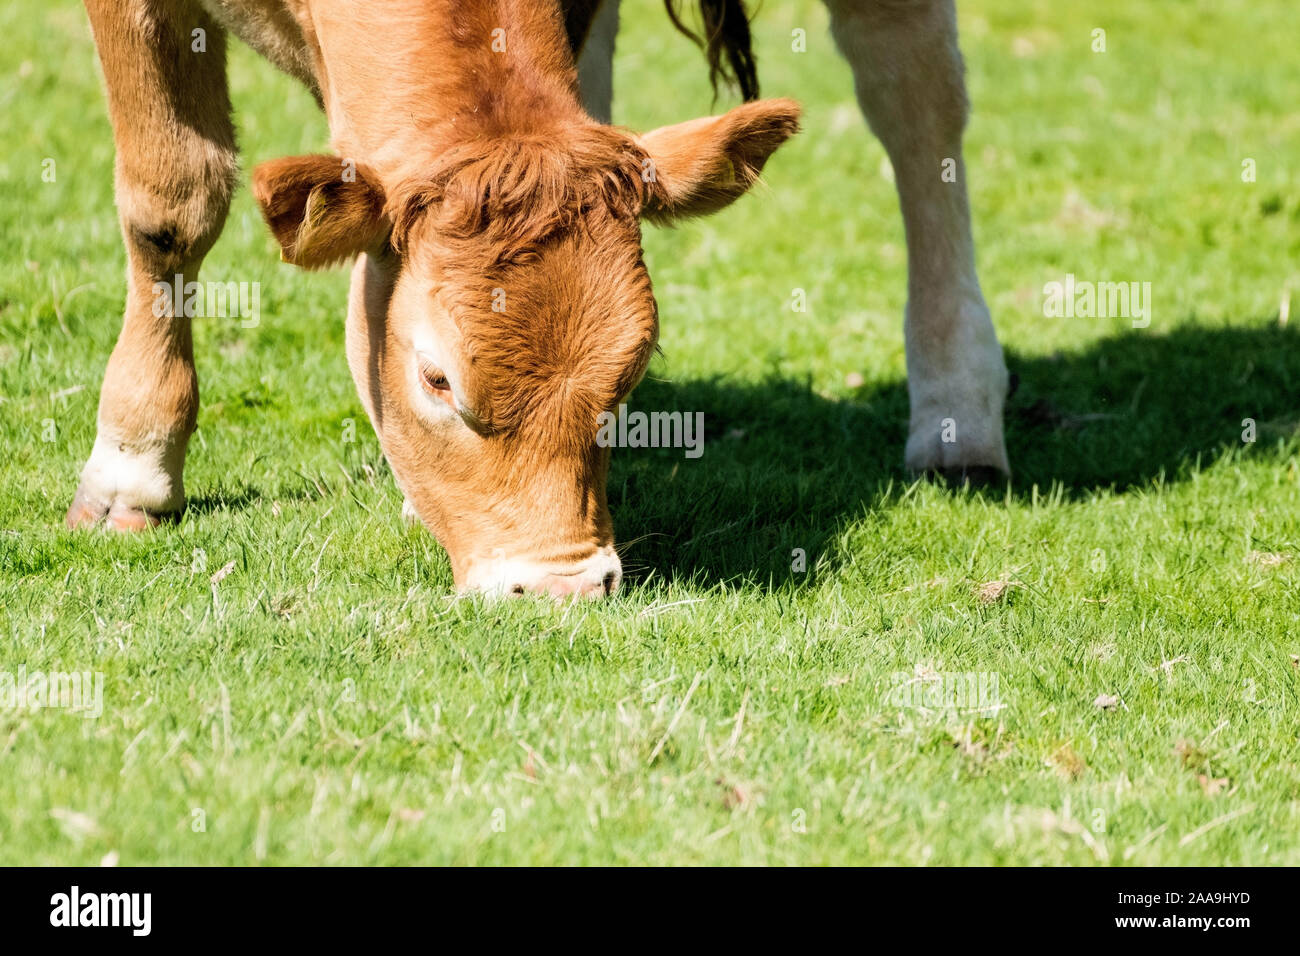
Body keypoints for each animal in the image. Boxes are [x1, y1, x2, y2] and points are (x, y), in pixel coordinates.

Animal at [69, 0, 1007, 600]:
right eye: (436, 379)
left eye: (630, 378)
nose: (561, 588)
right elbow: (172, 199)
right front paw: (133, 465)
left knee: (917, 99)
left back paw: (958, 414)